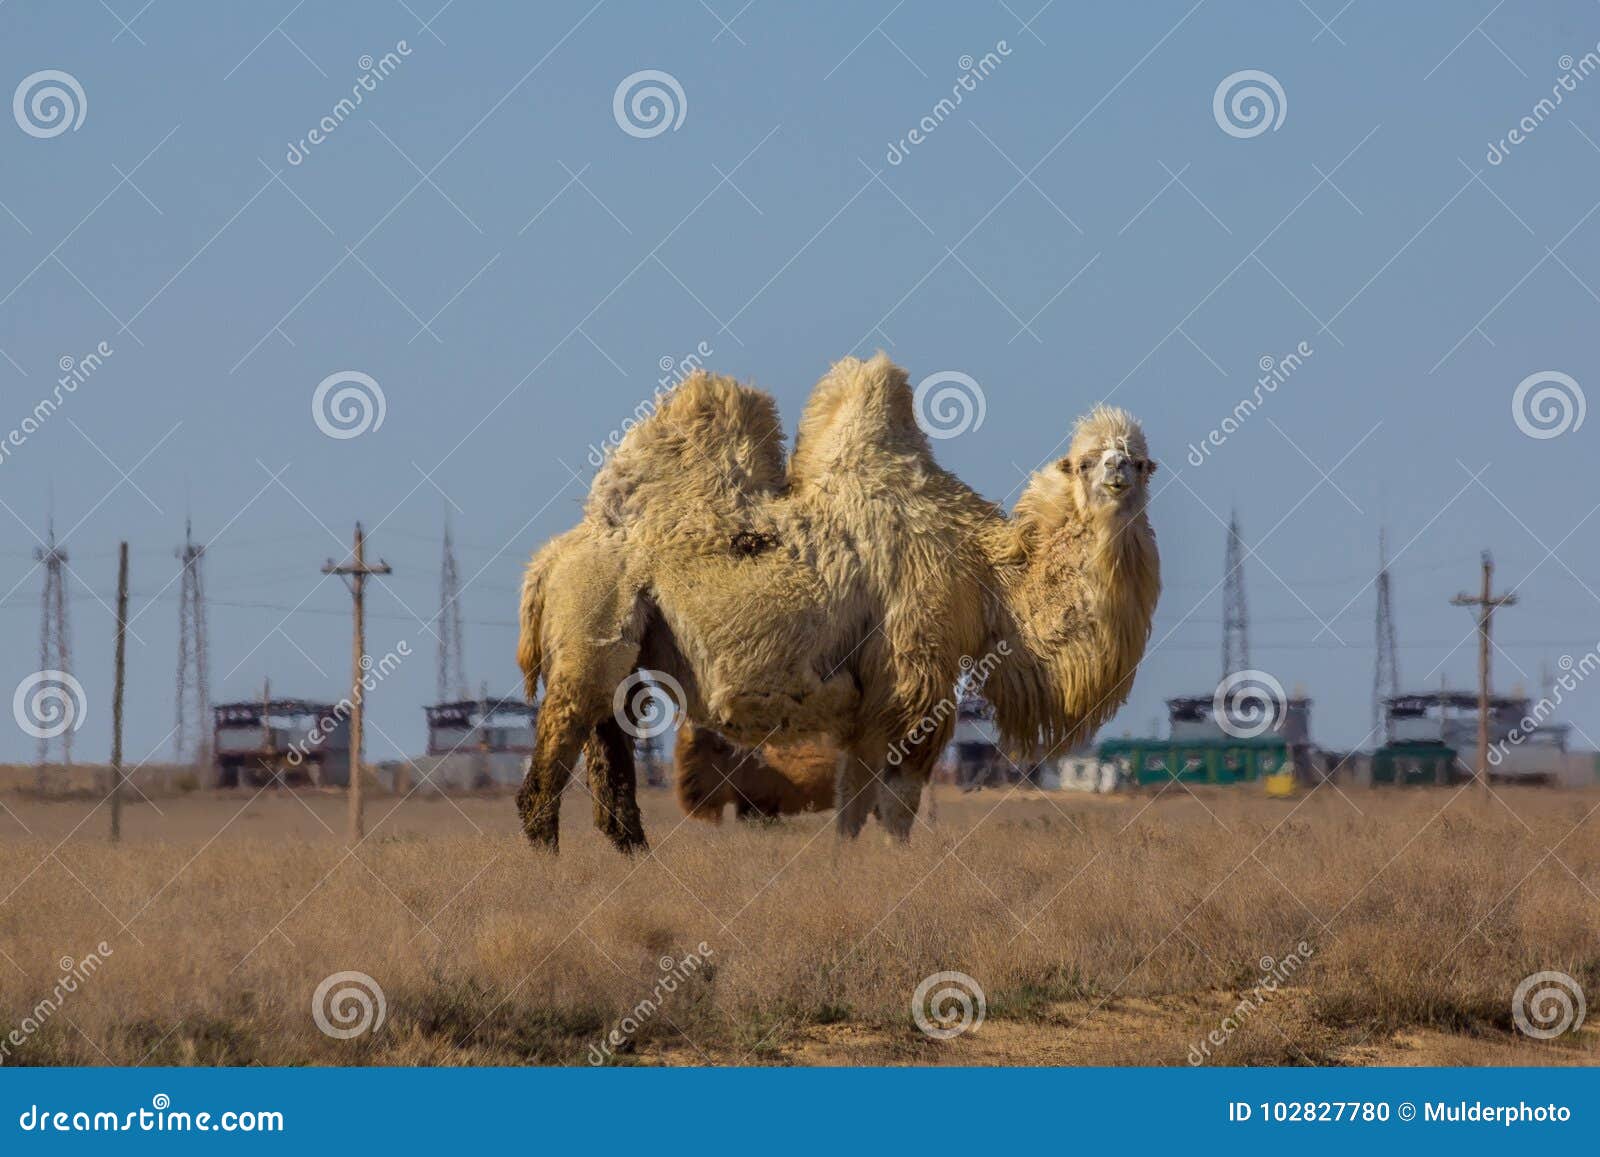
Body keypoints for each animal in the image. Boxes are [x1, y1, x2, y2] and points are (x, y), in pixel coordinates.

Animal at [516, 354, 1160, 852]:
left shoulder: (875, 696)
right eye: (1087, 460)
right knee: (547, 774)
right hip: (588, 626)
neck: (985, 573)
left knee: (611, 769)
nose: (1117, 473)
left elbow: (853, 803)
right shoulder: (913, 676)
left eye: (1139, 460)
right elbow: (894, 803)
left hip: (621, 656)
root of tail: (547, 562)